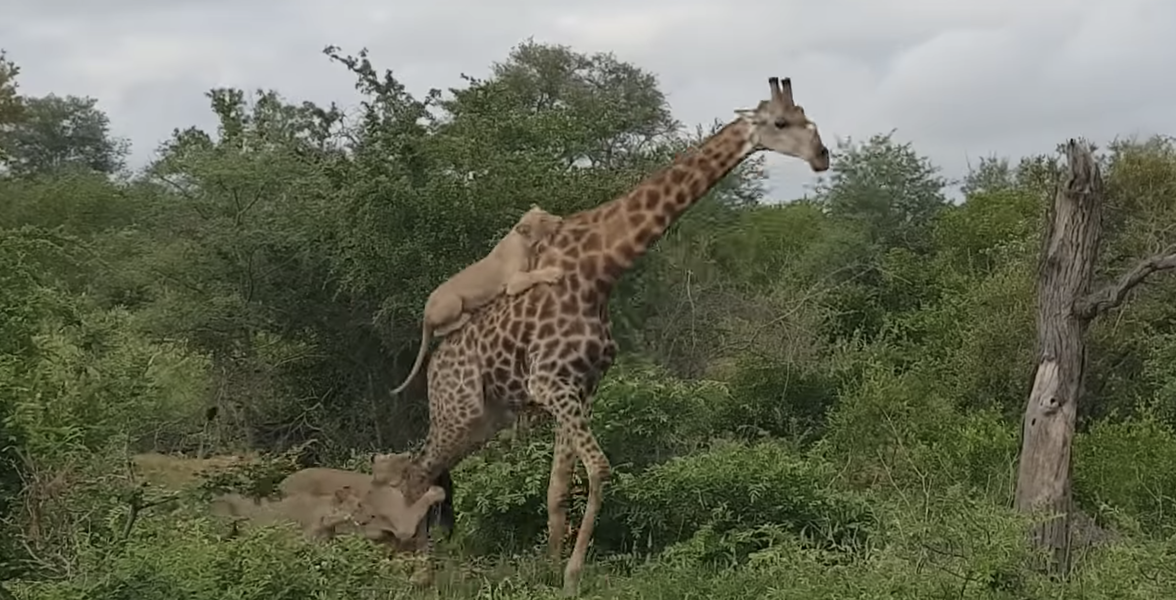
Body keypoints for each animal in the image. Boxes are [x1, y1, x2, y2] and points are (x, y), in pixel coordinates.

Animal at [392, 75, 827, 595]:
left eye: (809, 118)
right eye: (780, 123)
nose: (822, 156)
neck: (602, 271)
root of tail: (434, 364)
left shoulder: (581, 387)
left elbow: (559, 486)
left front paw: (549, 567)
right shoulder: (550, 383)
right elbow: (599, 470)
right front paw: (573, 575)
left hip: (485, 418)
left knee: (427, 472)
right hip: (459, 411)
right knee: (416, 472)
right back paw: (414, 572)